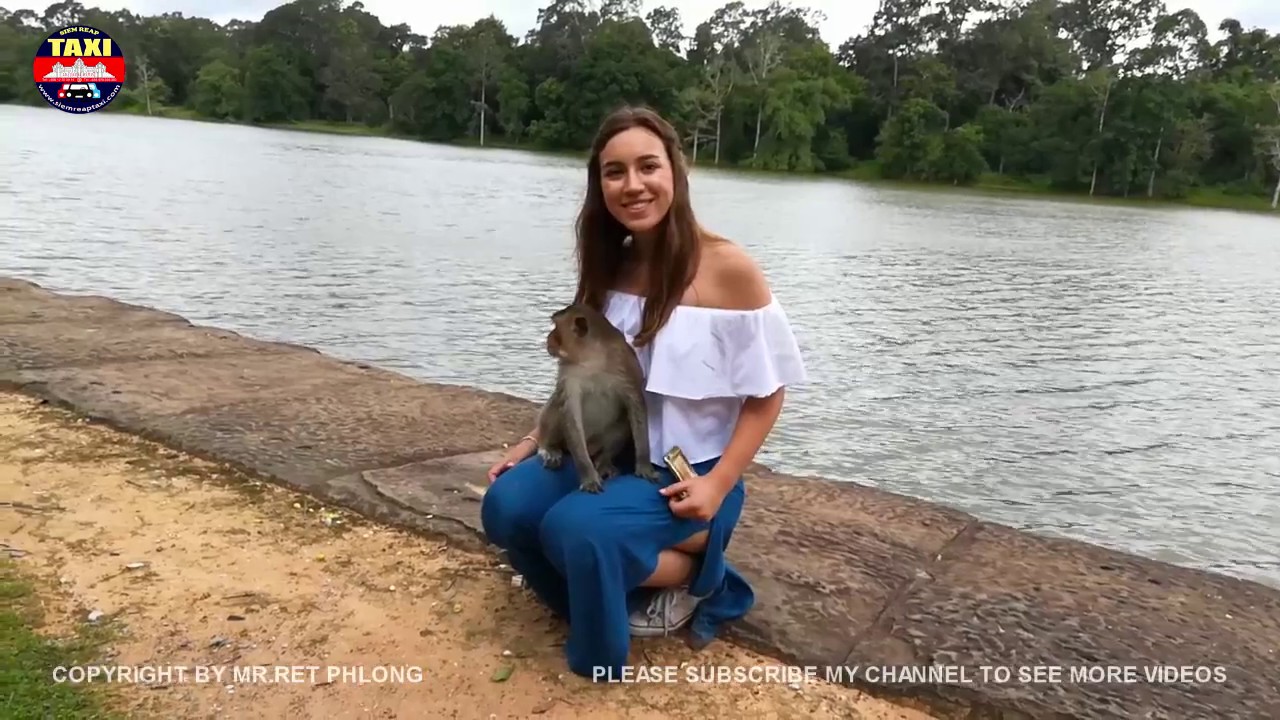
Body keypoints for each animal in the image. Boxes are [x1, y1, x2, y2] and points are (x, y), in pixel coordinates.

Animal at [534, 302, 660, 493]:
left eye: (556, 327)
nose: (548, 339)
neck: (591, 357)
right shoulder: (568, 374)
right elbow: (570, 411)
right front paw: (588, 476)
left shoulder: (625, 365)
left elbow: (635, 403)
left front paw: (644, 466)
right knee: (556, 406)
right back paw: (550, 448)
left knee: (623, 422)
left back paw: (604, 461)